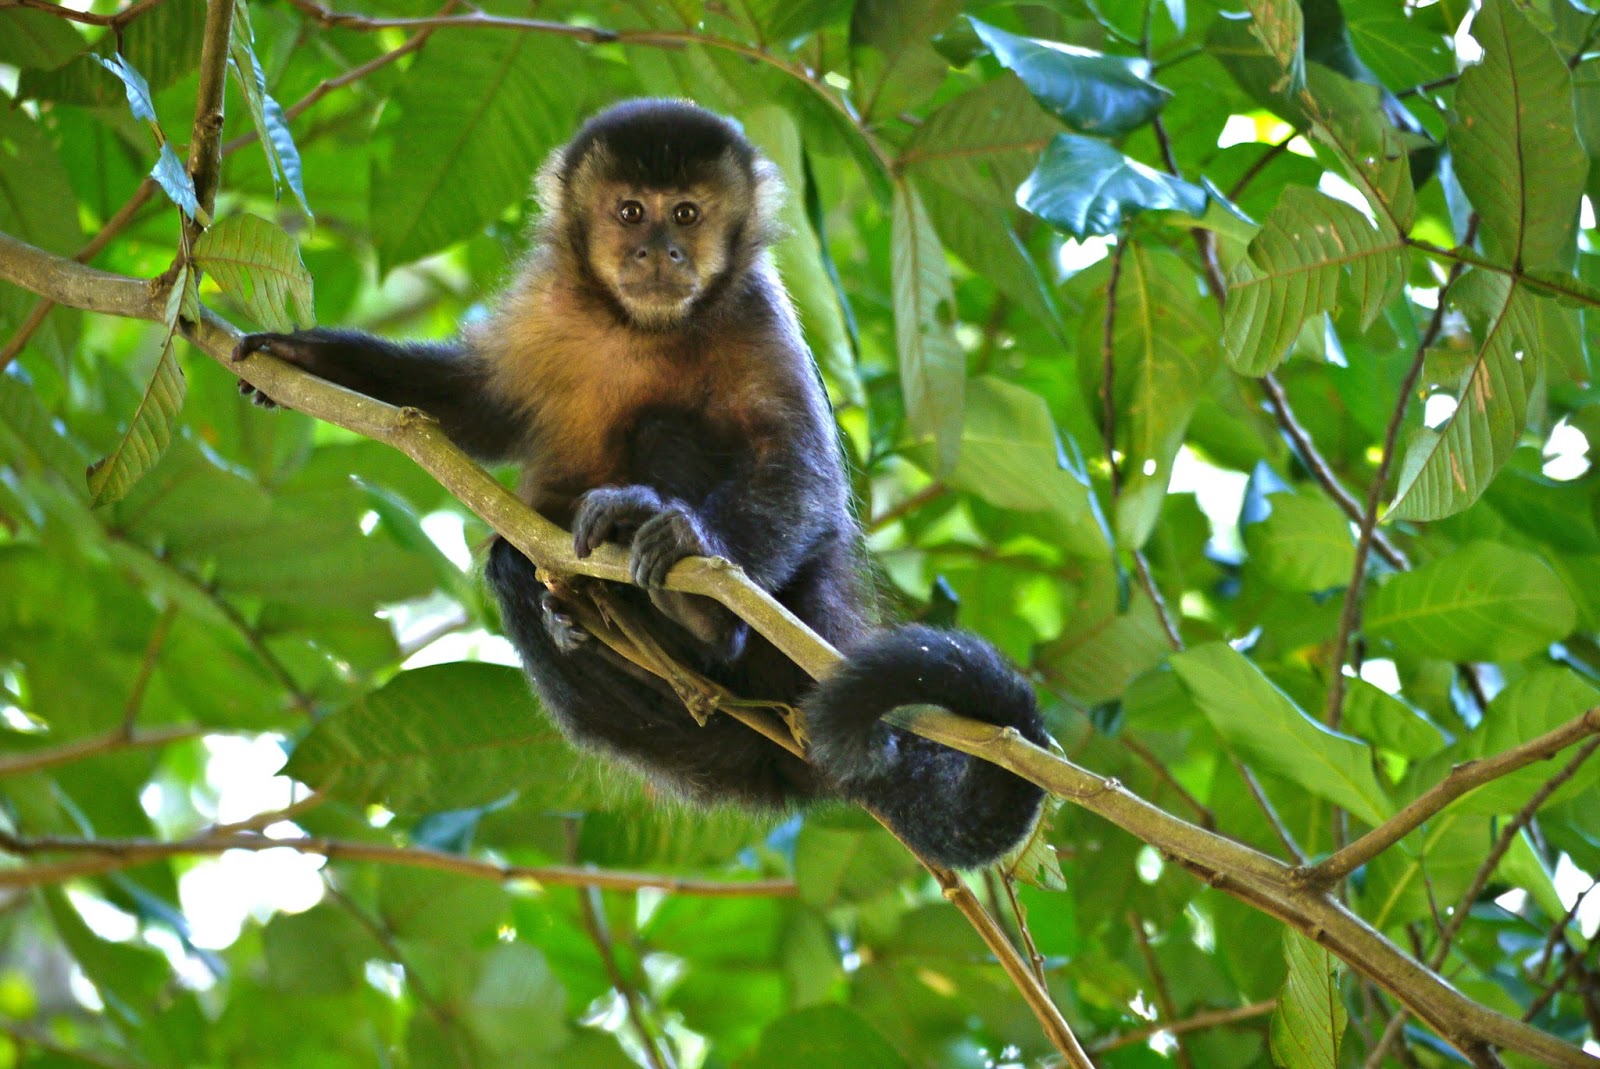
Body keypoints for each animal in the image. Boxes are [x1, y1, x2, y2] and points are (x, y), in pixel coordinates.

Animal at [233, 98, 1048, 869]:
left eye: (686, 212)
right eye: (630, 211)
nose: (662, 249)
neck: (639, 326)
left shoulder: (759, 312)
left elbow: (801, 470)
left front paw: (689, 540)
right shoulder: (545, 301)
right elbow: (474, 404)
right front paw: (300, 356)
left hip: (795, 631)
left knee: (666, 434)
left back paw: (694, 617)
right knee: (509, 560)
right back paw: (582, 623)